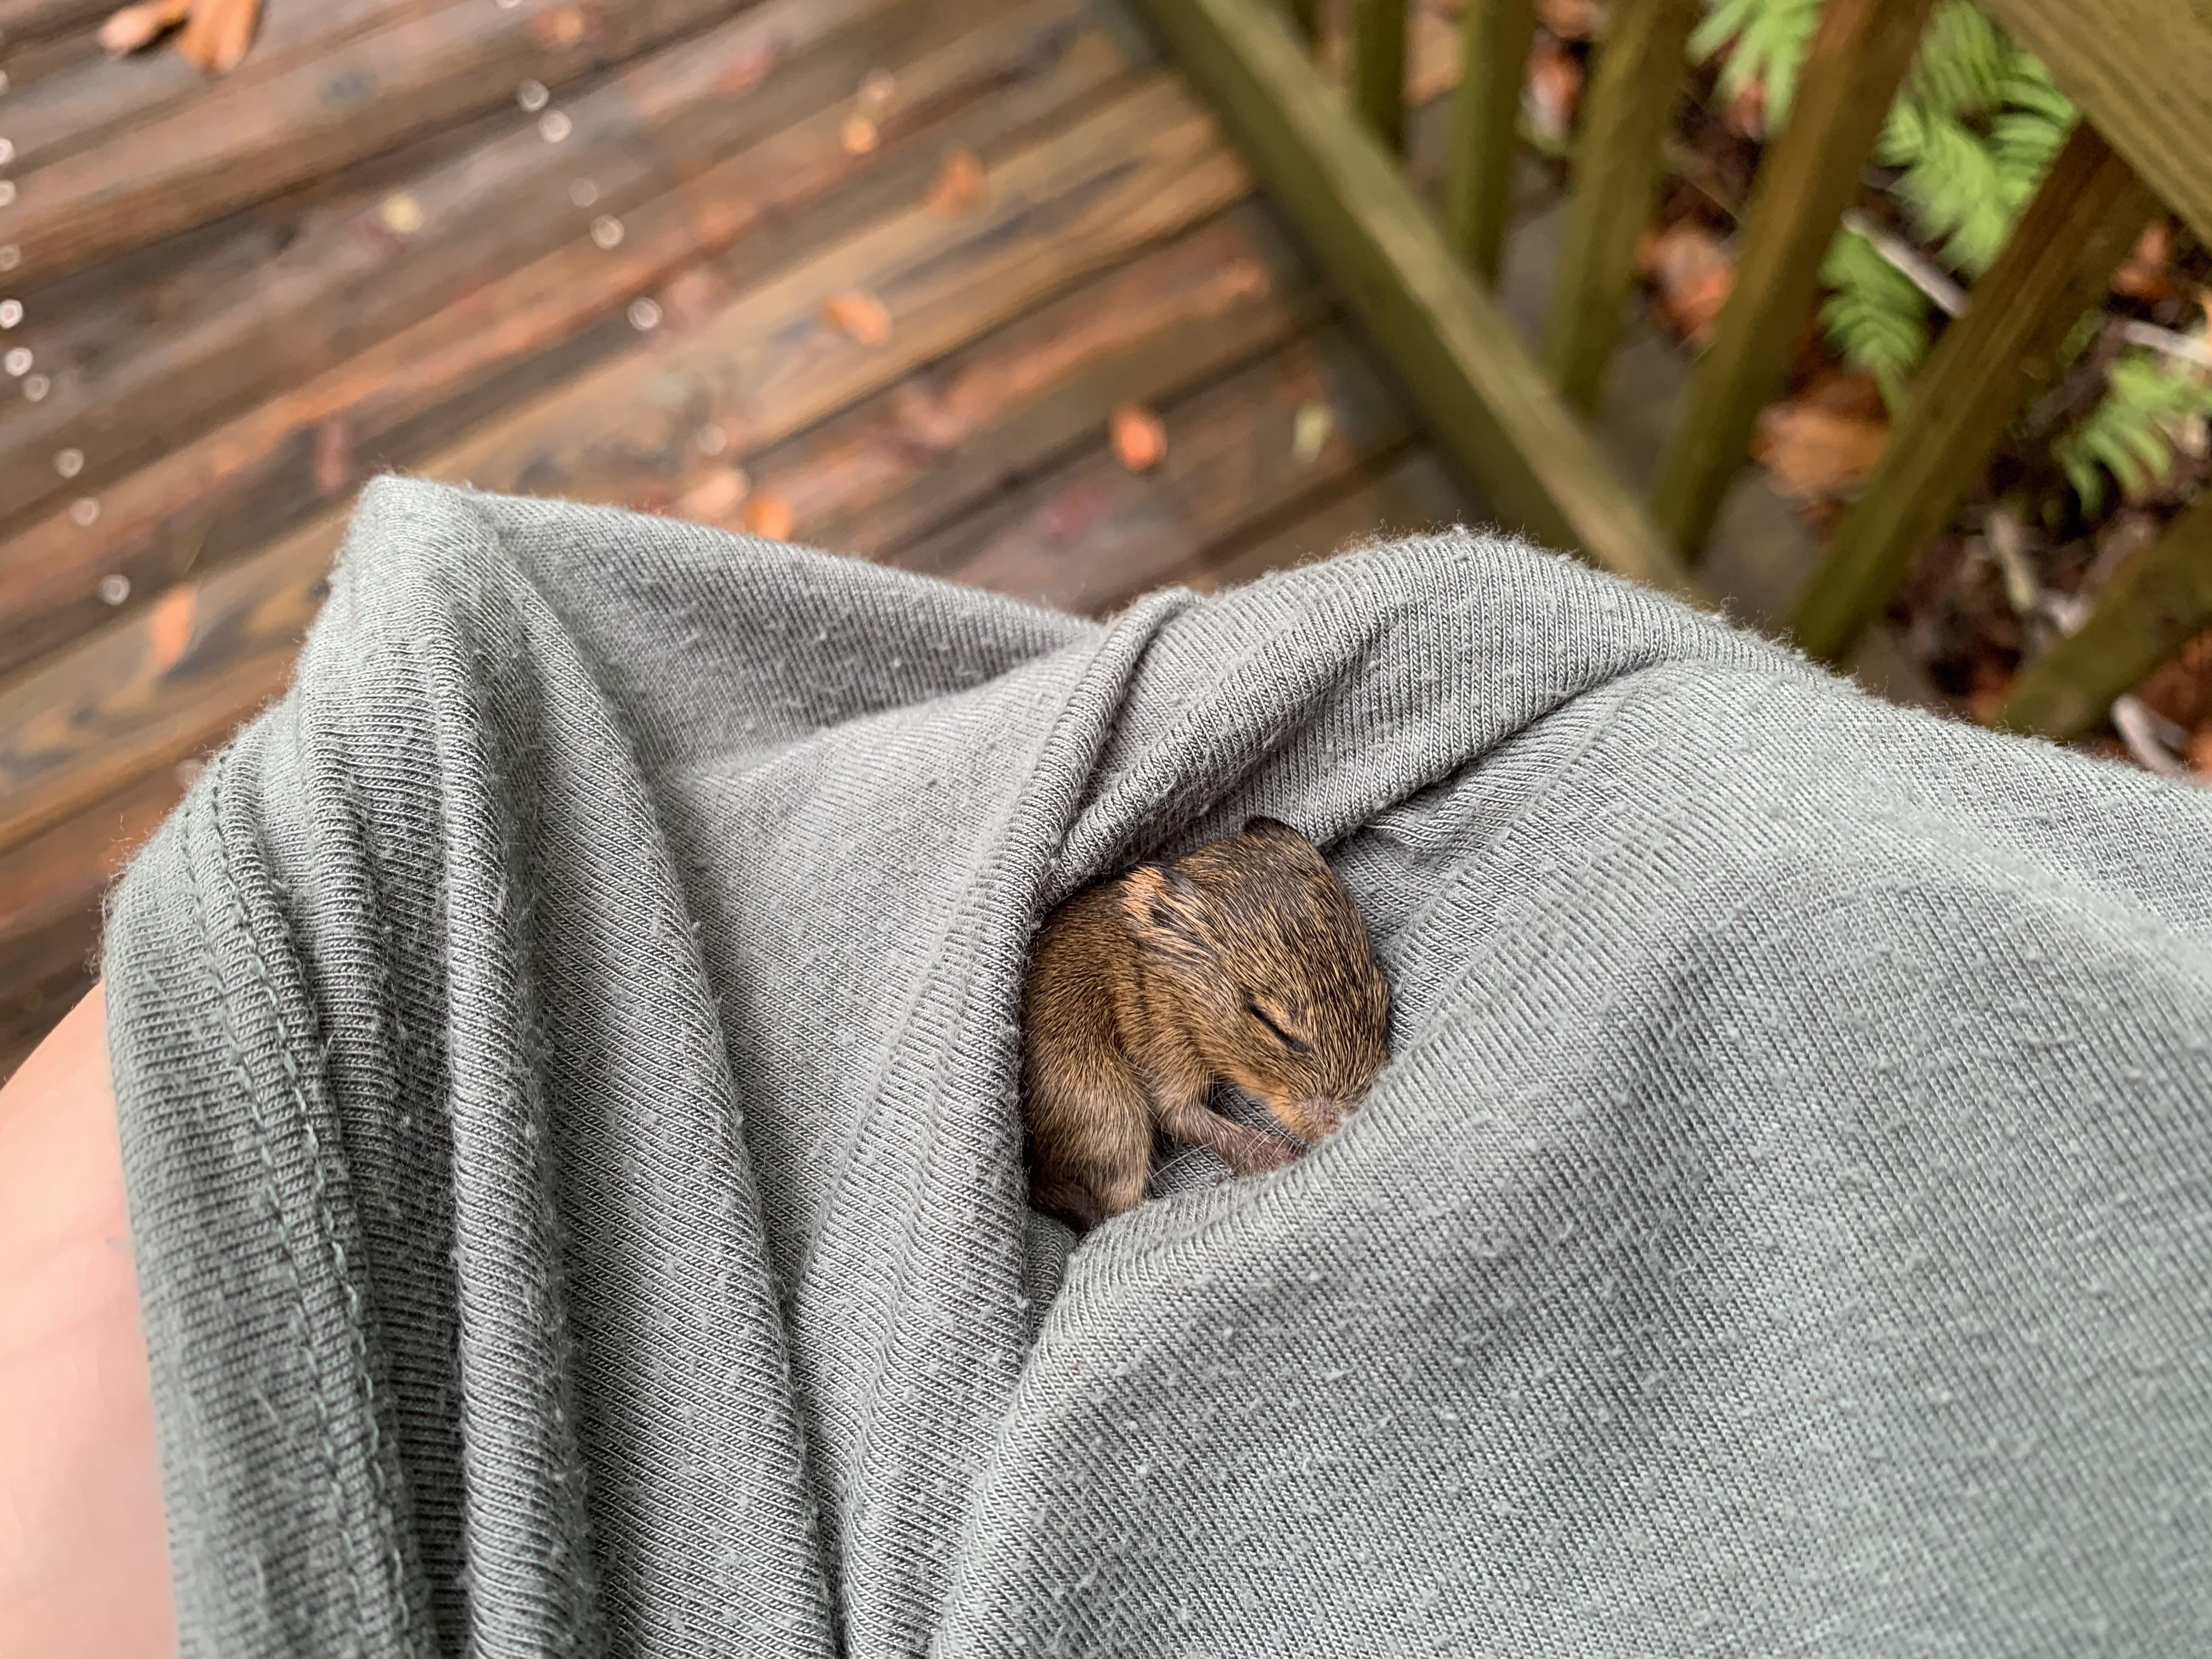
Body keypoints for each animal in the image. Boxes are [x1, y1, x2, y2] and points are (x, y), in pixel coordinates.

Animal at [1020, 816, 1392, 1232]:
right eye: (1271, 1025)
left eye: (1384, 998)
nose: (1342, 1122)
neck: (1168, 978)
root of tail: (1040, 1178)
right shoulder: (1166, 1044)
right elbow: (1179, 1115)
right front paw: (1279, 1155)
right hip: (1111, 1112)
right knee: (1116, 1210)